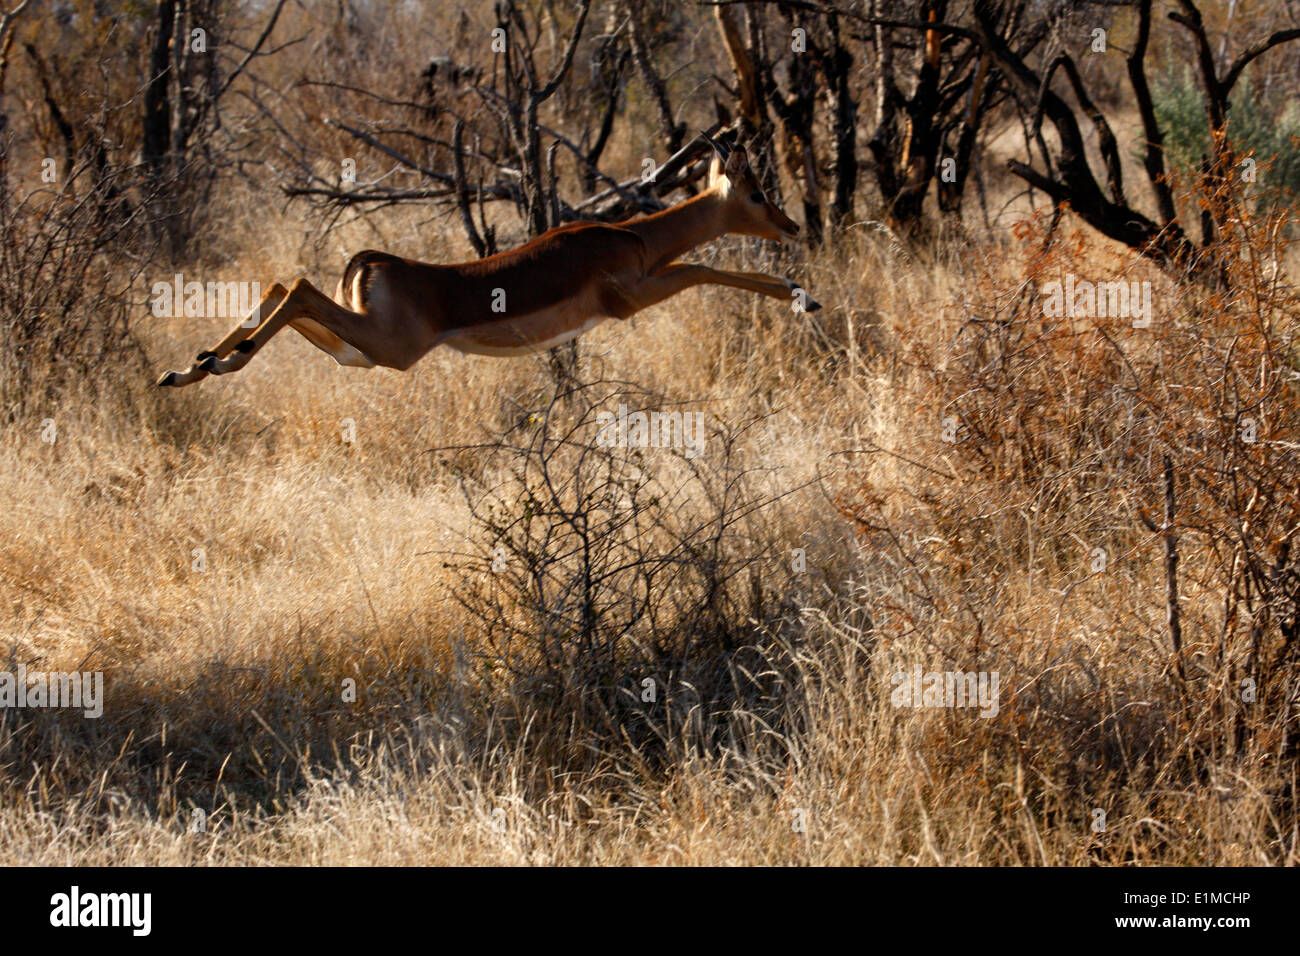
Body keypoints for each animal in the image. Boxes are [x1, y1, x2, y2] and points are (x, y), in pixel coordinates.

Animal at [155, 134, 820, 388]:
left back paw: (194, 366)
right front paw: (803, 294)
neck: (629, 237)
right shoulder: (629, 298)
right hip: (387, 348)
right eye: (755, 192)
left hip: (361, 351)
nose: (791, 227)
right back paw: (211, 364)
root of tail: (369, 261)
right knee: (292, 286)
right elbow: (703, 269)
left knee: (279, 289)